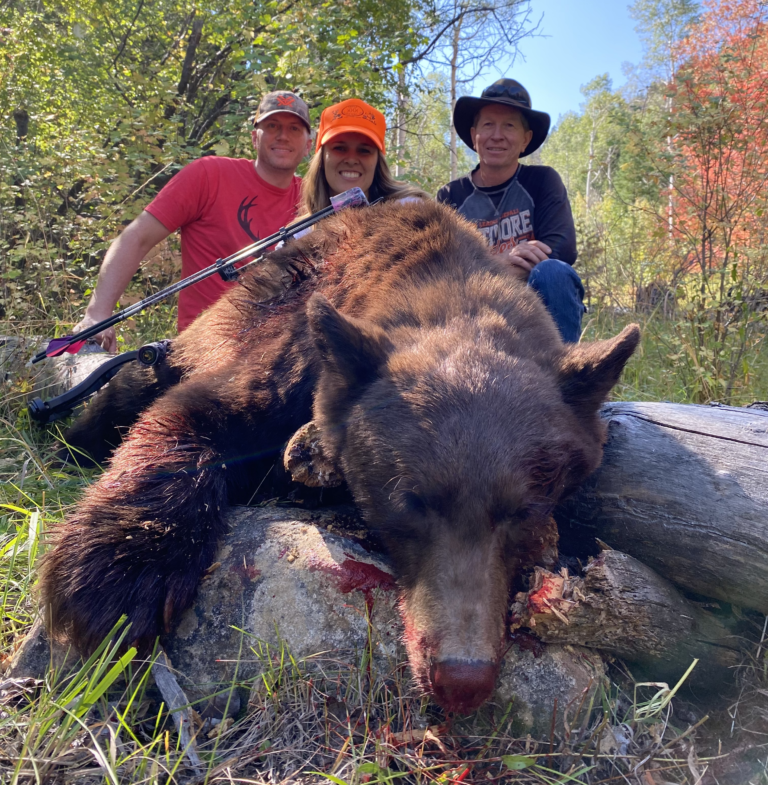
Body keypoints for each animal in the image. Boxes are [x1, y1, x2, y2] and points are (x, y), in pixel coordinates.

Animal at [41, 199, 640, 714]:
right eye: (413, 503)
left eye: (523, 511)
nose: (462, 677)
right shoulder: (283, 356)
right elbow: (193, 413)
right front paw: (117, 577)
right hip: (178, 349)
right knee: (128, 392)